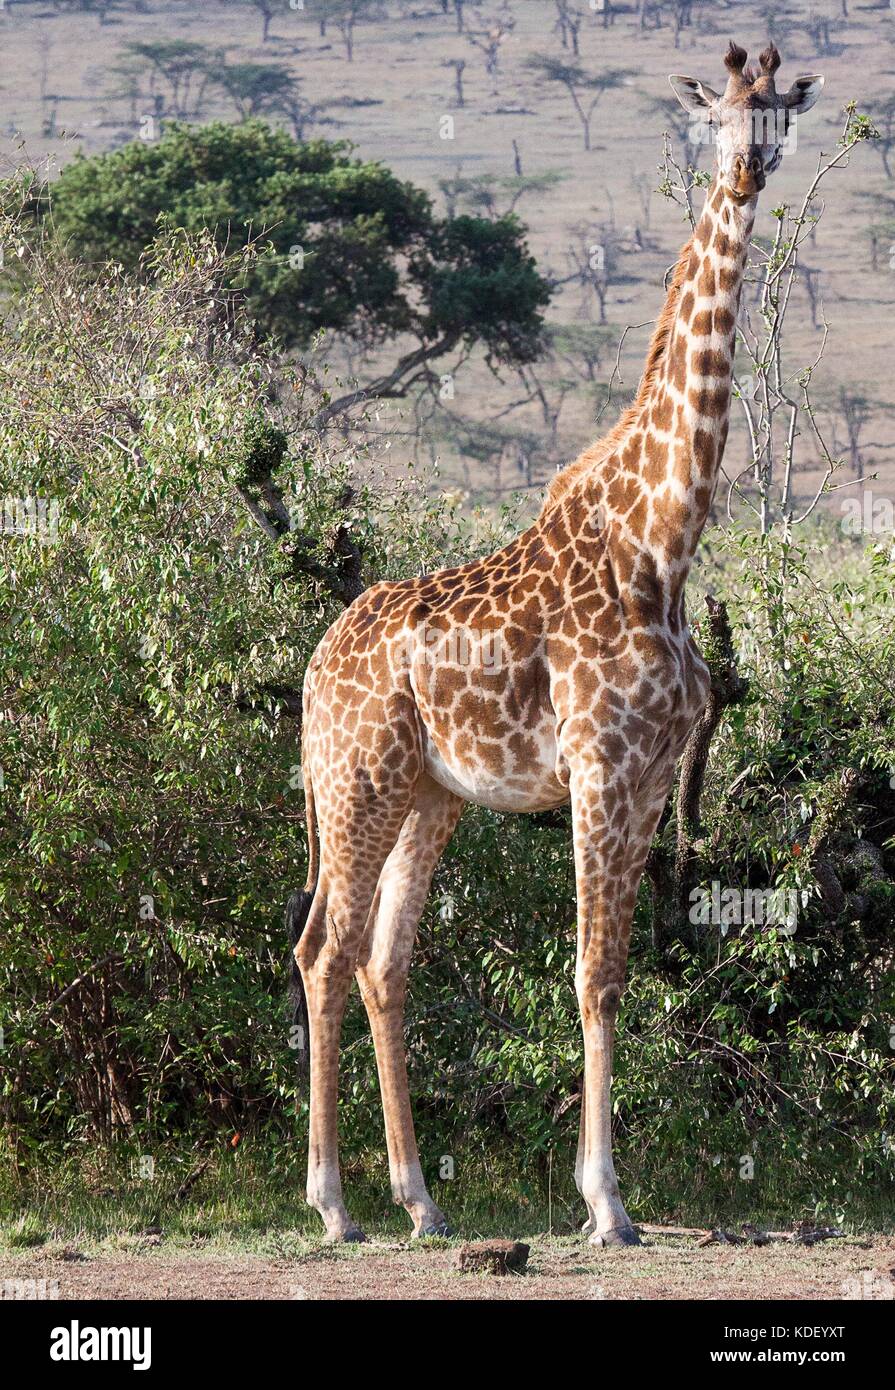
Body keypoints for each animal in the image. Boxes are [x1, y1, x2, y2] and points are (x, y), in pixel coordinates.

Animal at [290, 42, 824, 1246]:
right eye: (714, 114)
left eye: (778, 109)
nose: (747, 171)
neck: (663, 539)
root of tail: (312, 670)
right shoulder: (596, 765)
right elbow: (588, 974)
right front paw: (606, 1204)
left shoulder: (649, 774)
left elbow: (615, 972)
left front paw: (605, 1196)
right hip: (356, 778)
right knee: (324, 950)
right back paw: (334, 1202)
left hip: (429, 795)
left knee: (382, 962)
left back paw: (422, 1200)